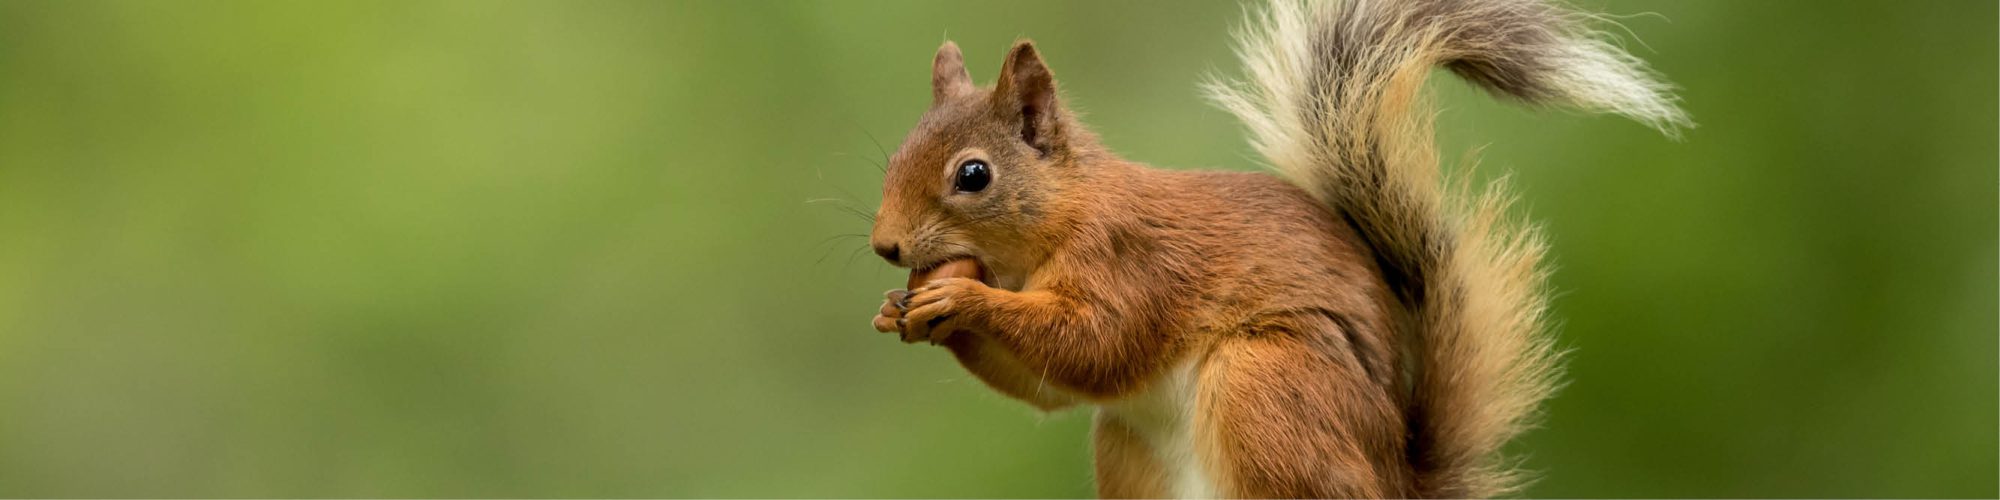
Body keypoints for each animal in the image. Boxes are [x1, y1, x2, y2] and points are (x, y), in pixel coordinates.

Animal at [865, 0, 1688, 497]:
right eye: (893, 156)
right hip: (1133, 446)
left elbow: (1098, 343)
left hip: (1268, 382)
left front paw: (961, 295)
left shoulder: (1133, 263)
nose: (885, 246)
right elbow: (1051, 387)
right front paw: (901, 311)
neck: (1061, 219)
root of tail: (1397, 478)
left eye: (974, 174)